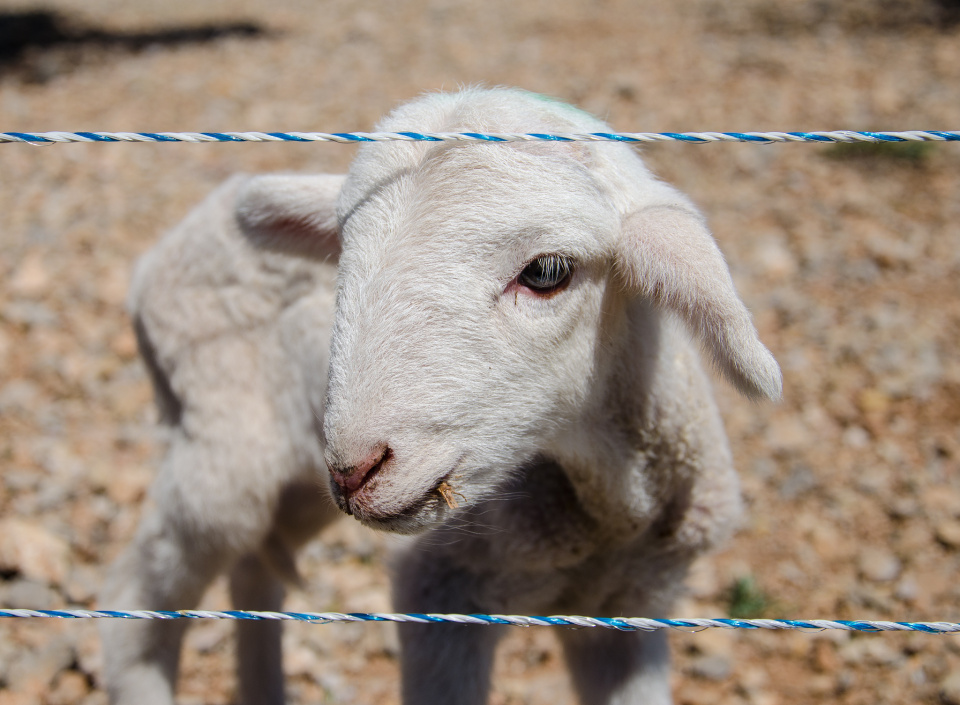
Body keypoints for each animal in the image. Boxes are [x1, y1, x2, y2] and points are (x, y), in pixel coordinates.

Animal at [100, 87, 781, 705]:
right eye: (342, 253)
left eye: (547, 272)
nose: (356, 470)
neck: (608, 510)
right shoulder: (442, 594)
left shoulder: (629, 611)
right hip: (226, 452)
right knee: (138, 600)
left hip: (296, 482)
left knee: (253, 571)